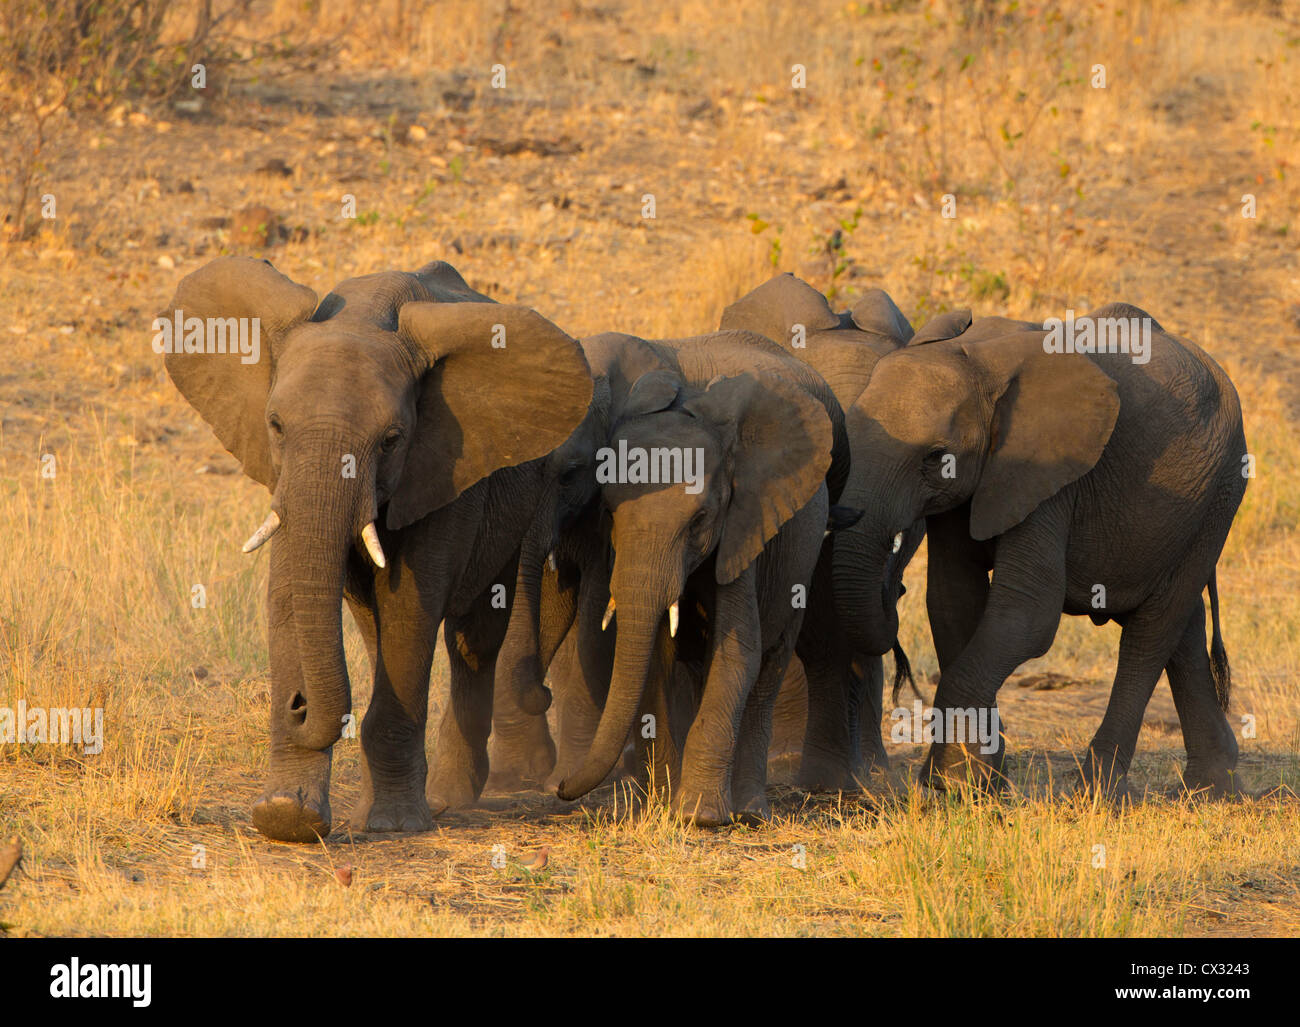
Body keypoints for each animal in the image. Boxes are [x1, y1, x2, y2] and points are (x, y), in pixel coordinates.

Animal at [161, 256, 593, 842]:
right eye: (275, 425)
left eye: (391, 440)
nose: (297, 705)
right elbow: (289, 591)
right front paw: (287, 817)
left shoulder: (443, 466)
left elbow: (410, 604)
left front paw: (394, 825)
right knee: (374, 629)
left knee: (475, 636)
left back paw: (449, 799)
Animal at [839, 302, 1248, 796]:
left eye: (936, 457)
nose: (894, 588)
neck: (976, 359)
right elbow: (953, 601)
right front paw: (981, 785)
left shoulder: (1050, 472)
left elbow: (1028, 612)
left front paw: (949, 784)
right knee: (1182, 623)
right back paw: (1214, 788)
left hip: (1220, 494)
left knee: (1152, 631)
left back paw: (1099, 793)